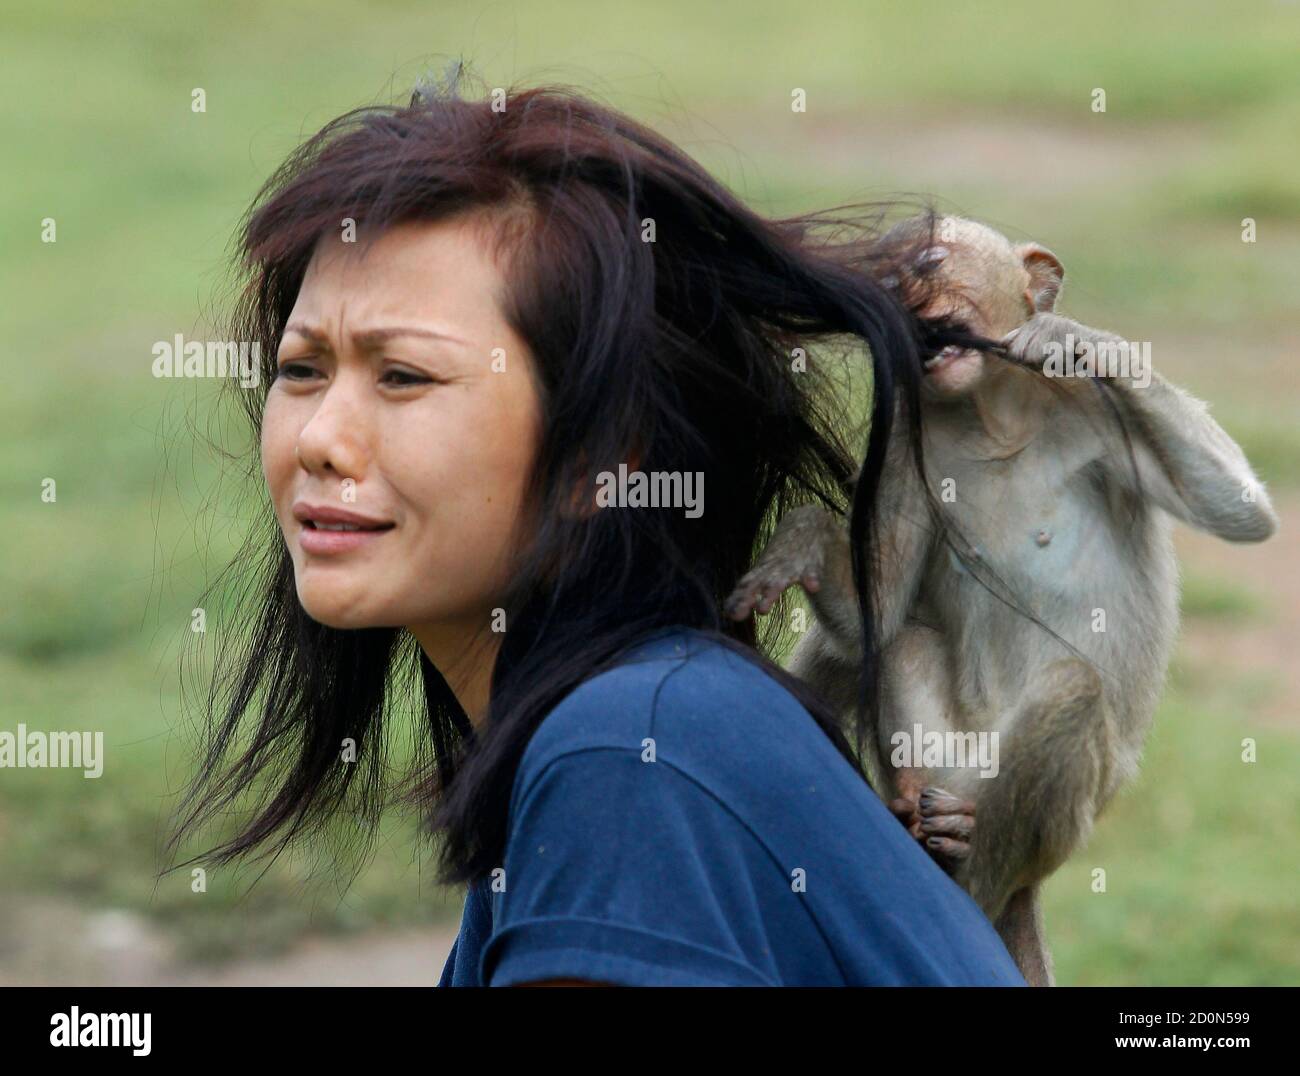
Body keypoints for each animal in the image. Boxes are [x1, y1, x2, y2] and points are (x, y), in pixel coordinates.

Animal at [725, 215, 1278, 985]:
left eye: (930, 260)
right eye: (890, 276)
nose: (906, 296)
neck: (993, 413)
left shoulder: (1100, 411)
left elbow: (1239, 509)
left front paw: (1069, 338)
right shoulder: (905, 429)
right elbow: (879, 611)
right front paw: (800, 545)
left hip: (1061, 813)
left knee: (1071, 693)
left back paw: (967, 890)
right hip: (942, 758)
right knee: (902, 642)